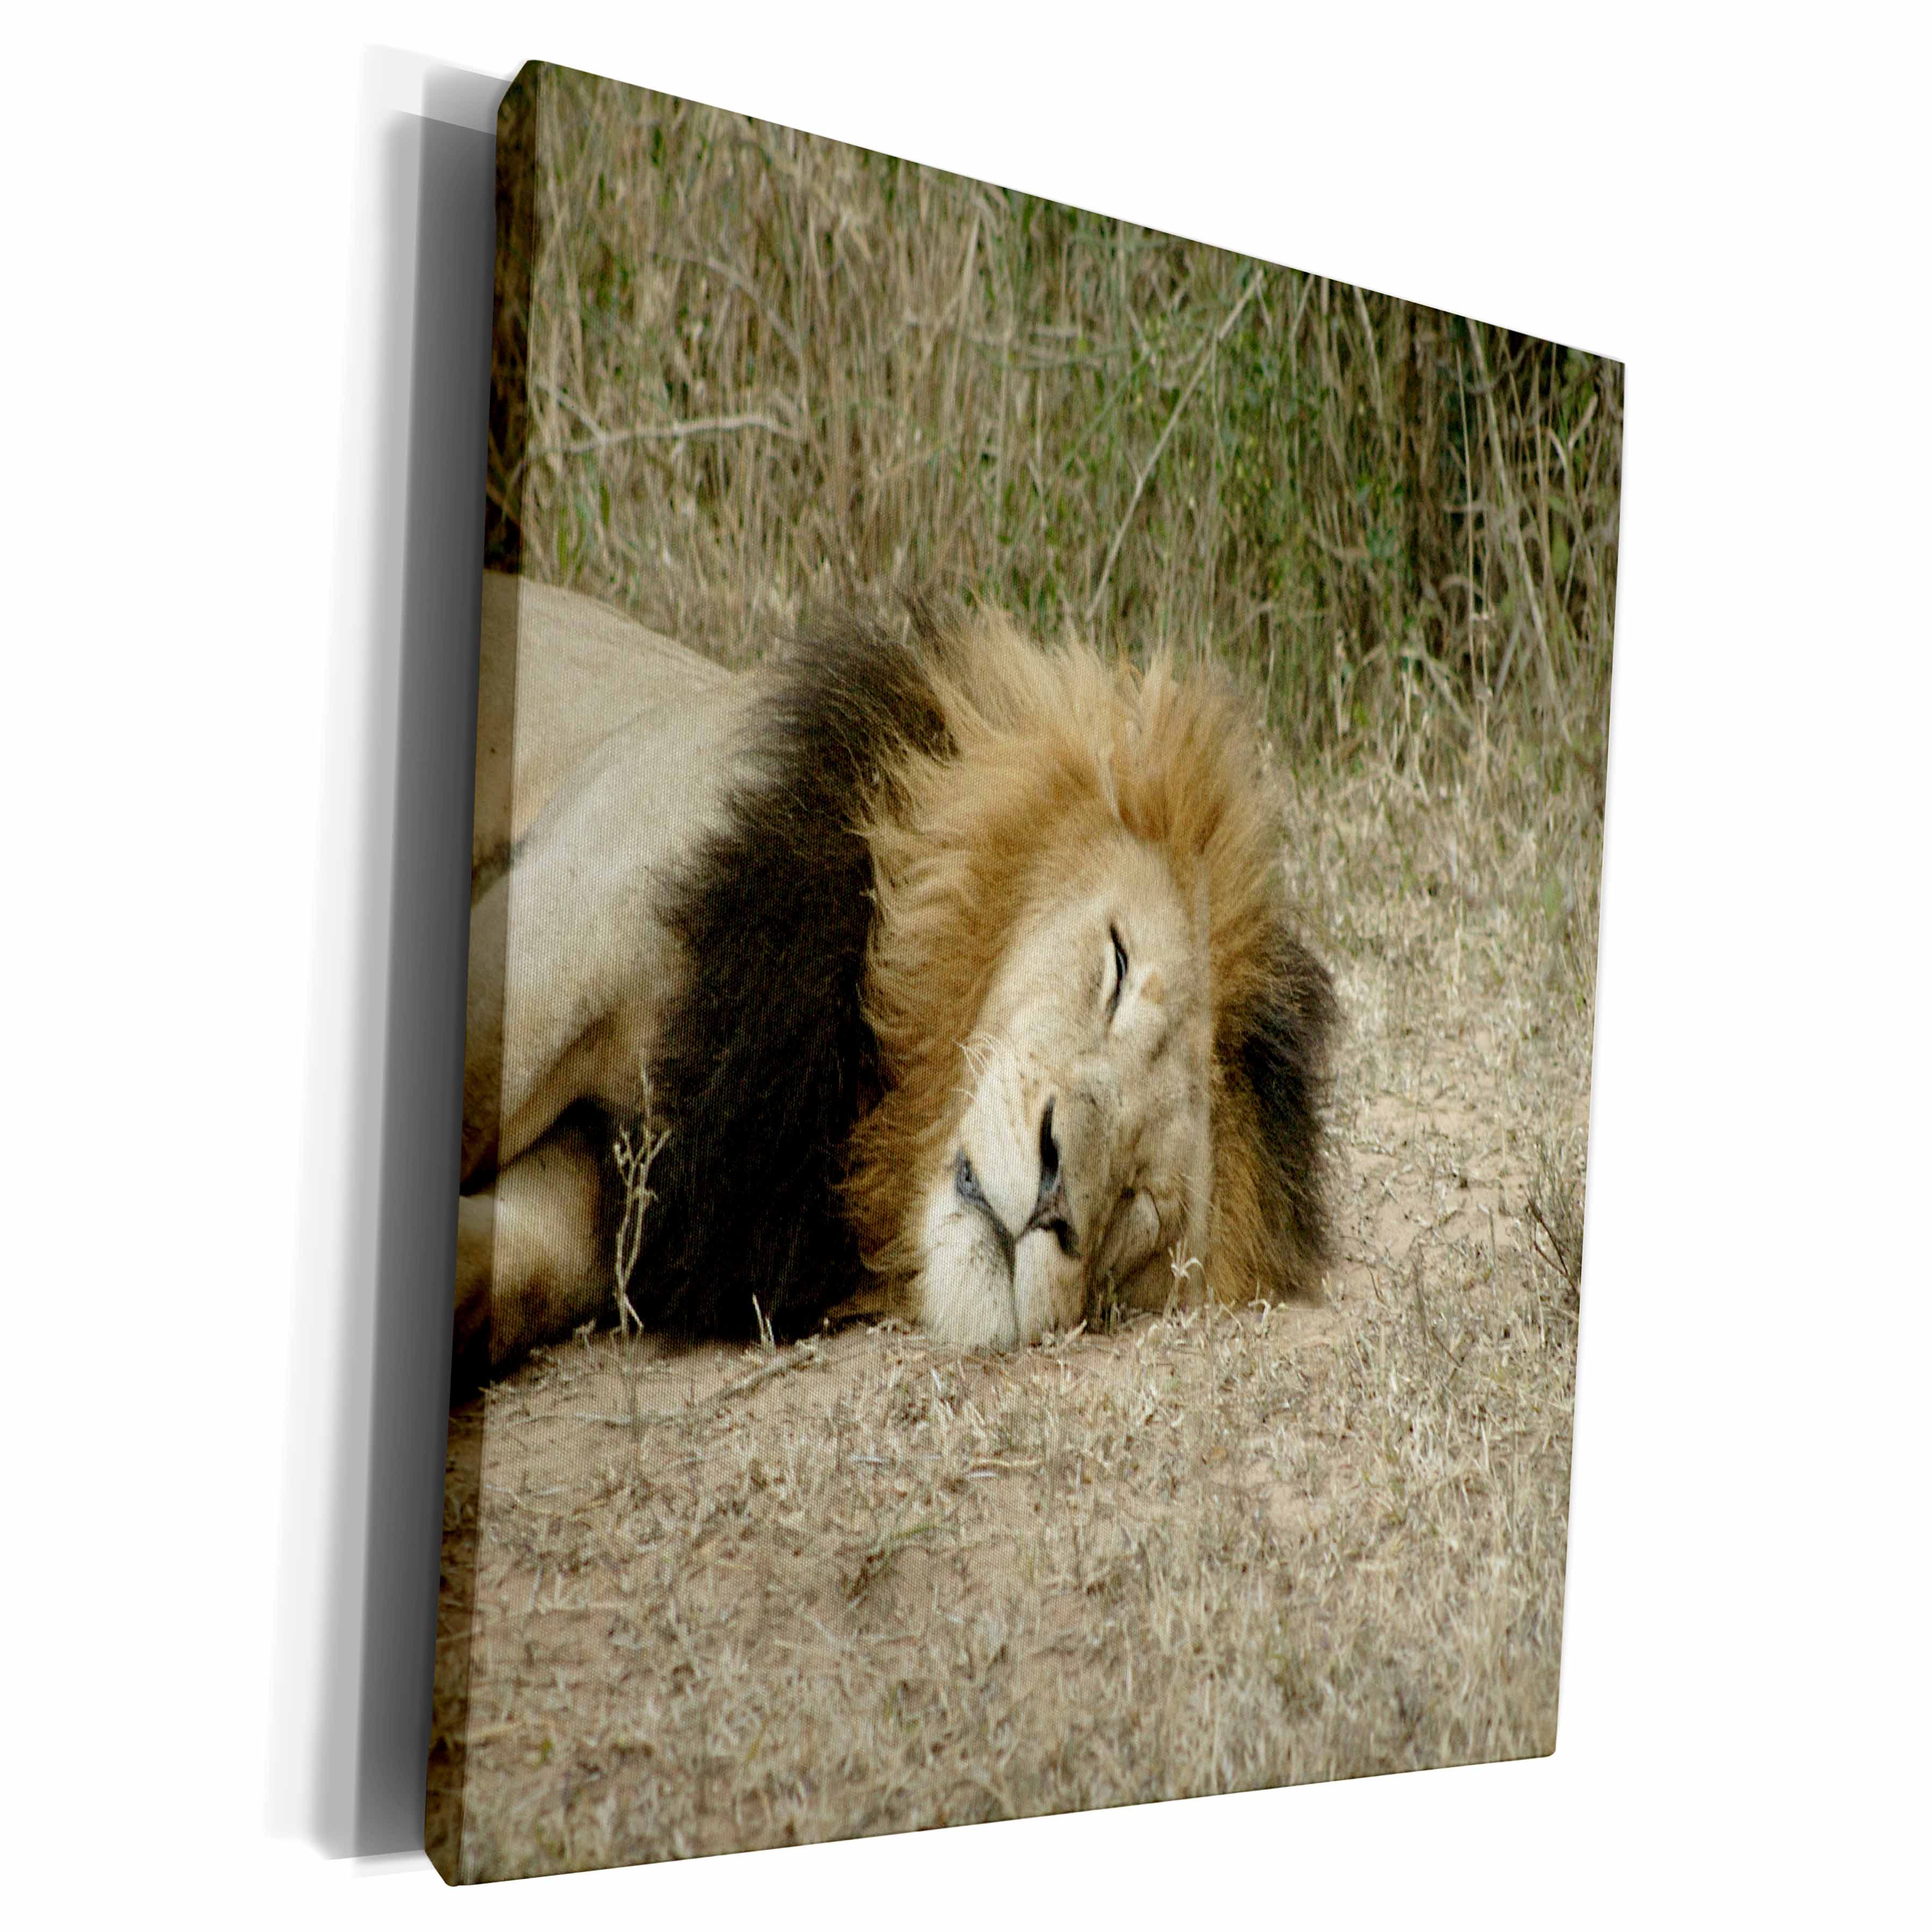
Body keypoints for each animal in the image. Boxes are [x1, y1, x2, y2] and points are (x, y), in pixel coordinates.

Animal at [454, 570, 1337, 1386]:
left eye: (1143, 1205)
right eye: (1117, 968)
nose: (1053, 1199)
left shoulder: (620, 1193)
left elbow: (506, 1275)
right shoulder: (568, 928)